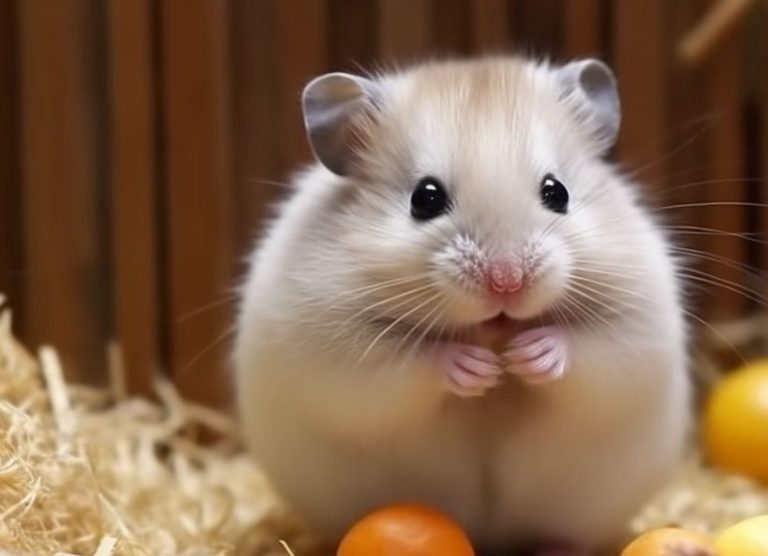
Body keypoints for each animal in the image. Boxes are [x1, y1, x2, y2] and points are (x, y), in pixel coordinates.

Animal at [234, 56, 691, 555]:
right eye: (425, 198)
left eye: (557, 192)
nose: (507, 281)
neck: (494, 330)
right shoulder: (334, 346)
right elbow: (408, 363)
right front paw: (480, 369)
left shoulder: (639, 324)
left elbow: (591, 351)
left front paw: (527, 355)